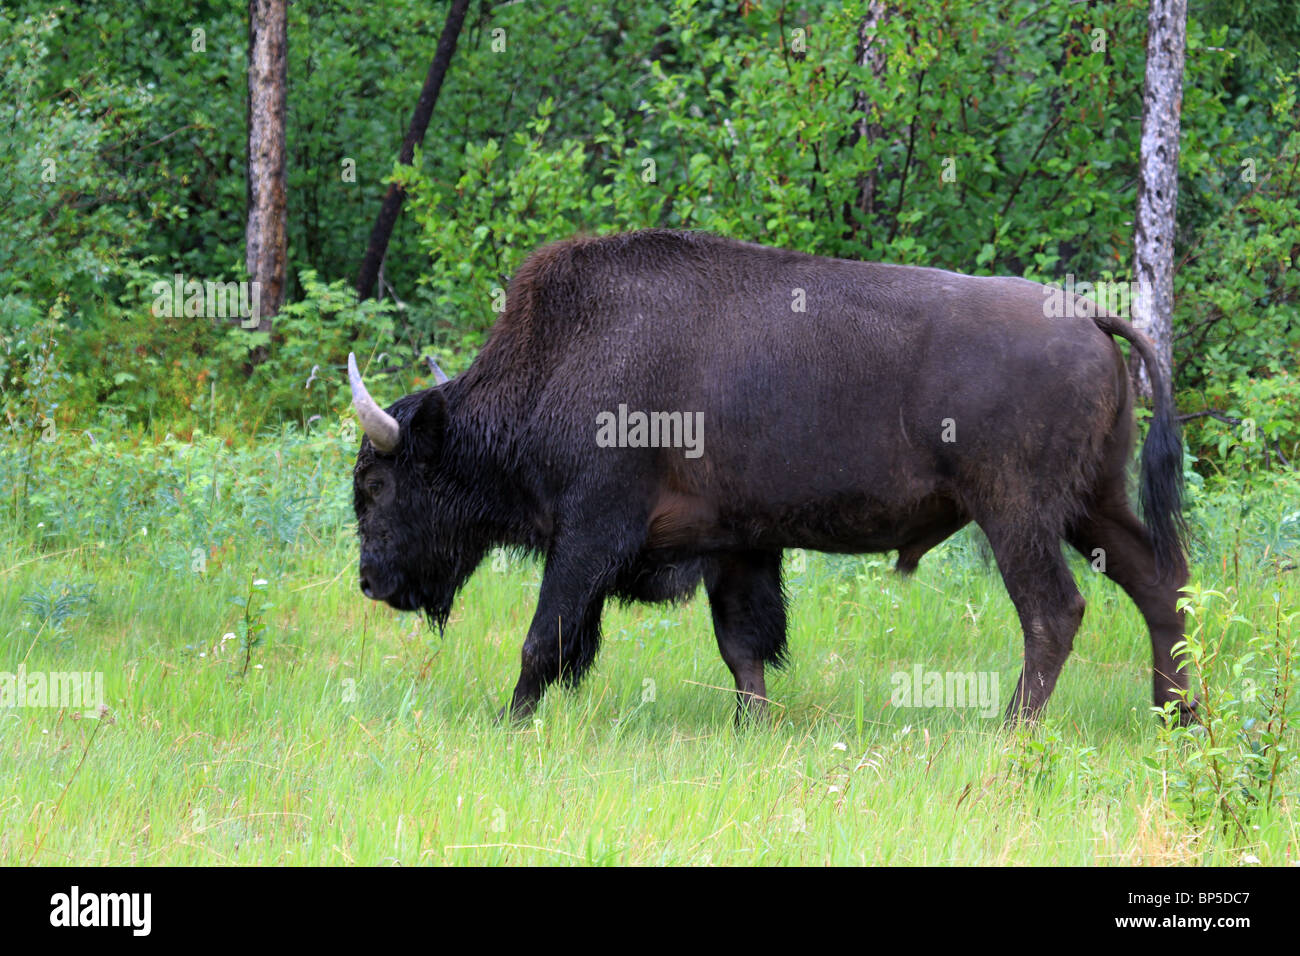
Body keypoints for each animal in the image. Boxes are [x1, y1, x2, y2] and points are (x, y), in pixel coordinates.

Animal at [349, 229, 1189, 723]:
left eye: (380, 487)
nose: (370, 582)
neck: (556, 363)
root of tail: (1088, 317)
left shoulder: (589, 533)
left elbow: (545, 638)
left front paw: (511, 722)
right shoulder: (736, 543)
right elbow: (742, 643)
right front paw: (751, 725)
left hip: (1016, 513)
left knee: (1054, 612)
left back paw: (1011, 729)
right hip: (1093, 504)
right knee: (1162, 587)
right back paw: (1177, 718)